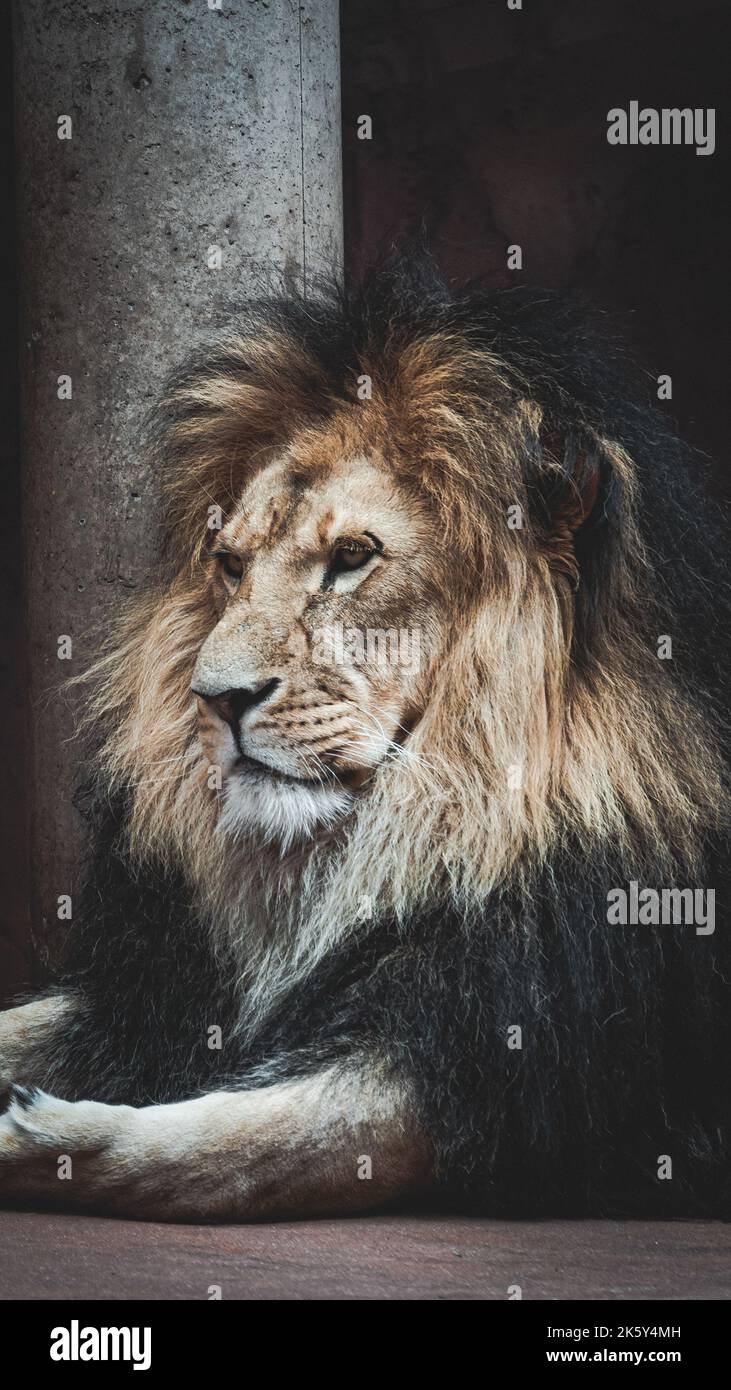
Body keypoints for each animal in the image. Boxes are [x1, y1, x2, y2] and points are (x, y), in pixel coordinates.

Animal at [1, 255, 729, 1220]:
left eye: (351, 557)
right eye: (229, 565)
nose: (214, 699)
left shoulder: (499, 1054)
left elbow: (241, 1142)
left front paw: (36, 1133)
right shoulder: (151, 986)